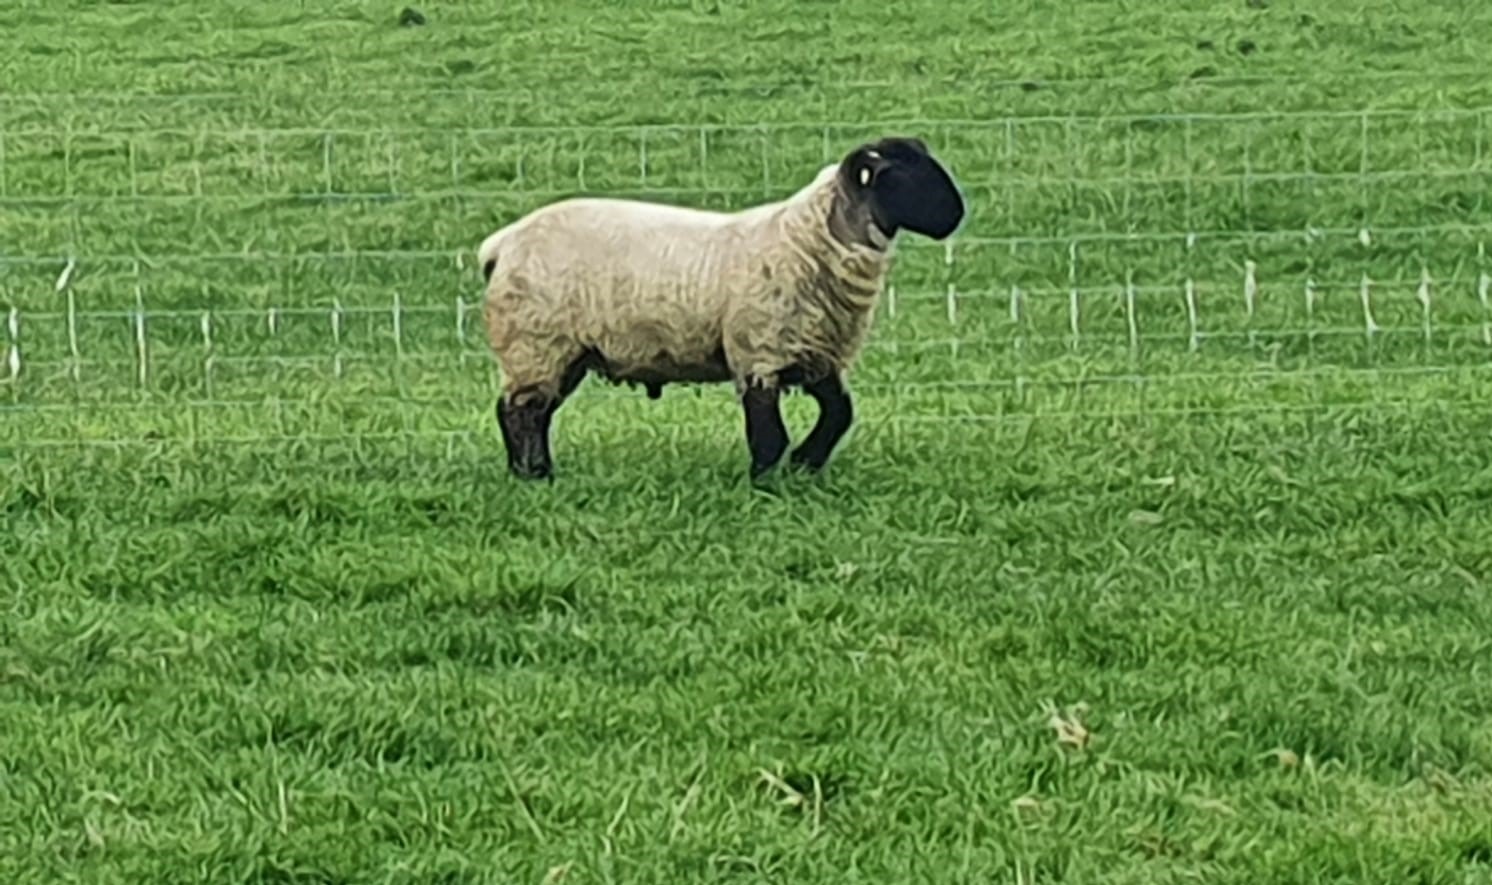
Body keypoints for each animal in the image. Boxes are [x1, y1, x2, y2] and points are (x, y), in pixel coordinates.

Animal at [476, 135, 965, 481]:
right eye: (899, 174)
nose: (956, 216)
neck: (808, 241)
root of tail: (501, 244)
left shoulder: (813, 355)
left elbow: (840, 415)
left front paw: (805, 464)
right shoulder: (759, 354)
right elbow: (768, 435)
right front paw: (766, 484)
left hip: (559, 351)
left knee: (530, 412)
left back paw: (533, 472)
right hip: (535, 342)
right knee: (518, 411)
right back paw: (532, 476)